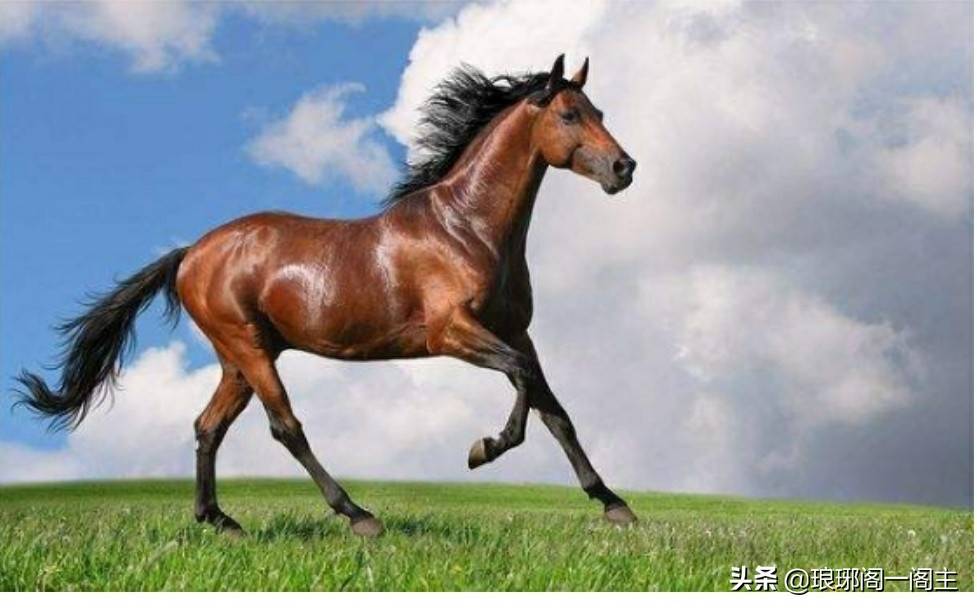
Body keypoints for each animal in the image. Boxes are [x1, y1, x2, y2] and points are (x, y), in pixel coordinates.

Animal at [15, 54, 638, 538]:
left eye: (600, 113)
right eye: (569, 114)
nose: (624, 167)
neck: (467, 227)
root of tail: (191, 253)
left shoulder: (516, 331)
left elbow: (554, 410)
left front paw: (614, 504)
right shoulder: (452, 332)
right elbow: (523, 384)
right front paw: (483, 448)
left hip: (238, 358)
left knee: (208, 426)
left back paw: (220, 521)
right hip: (248, 348)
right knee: (285, 426)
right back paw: (358, 515)